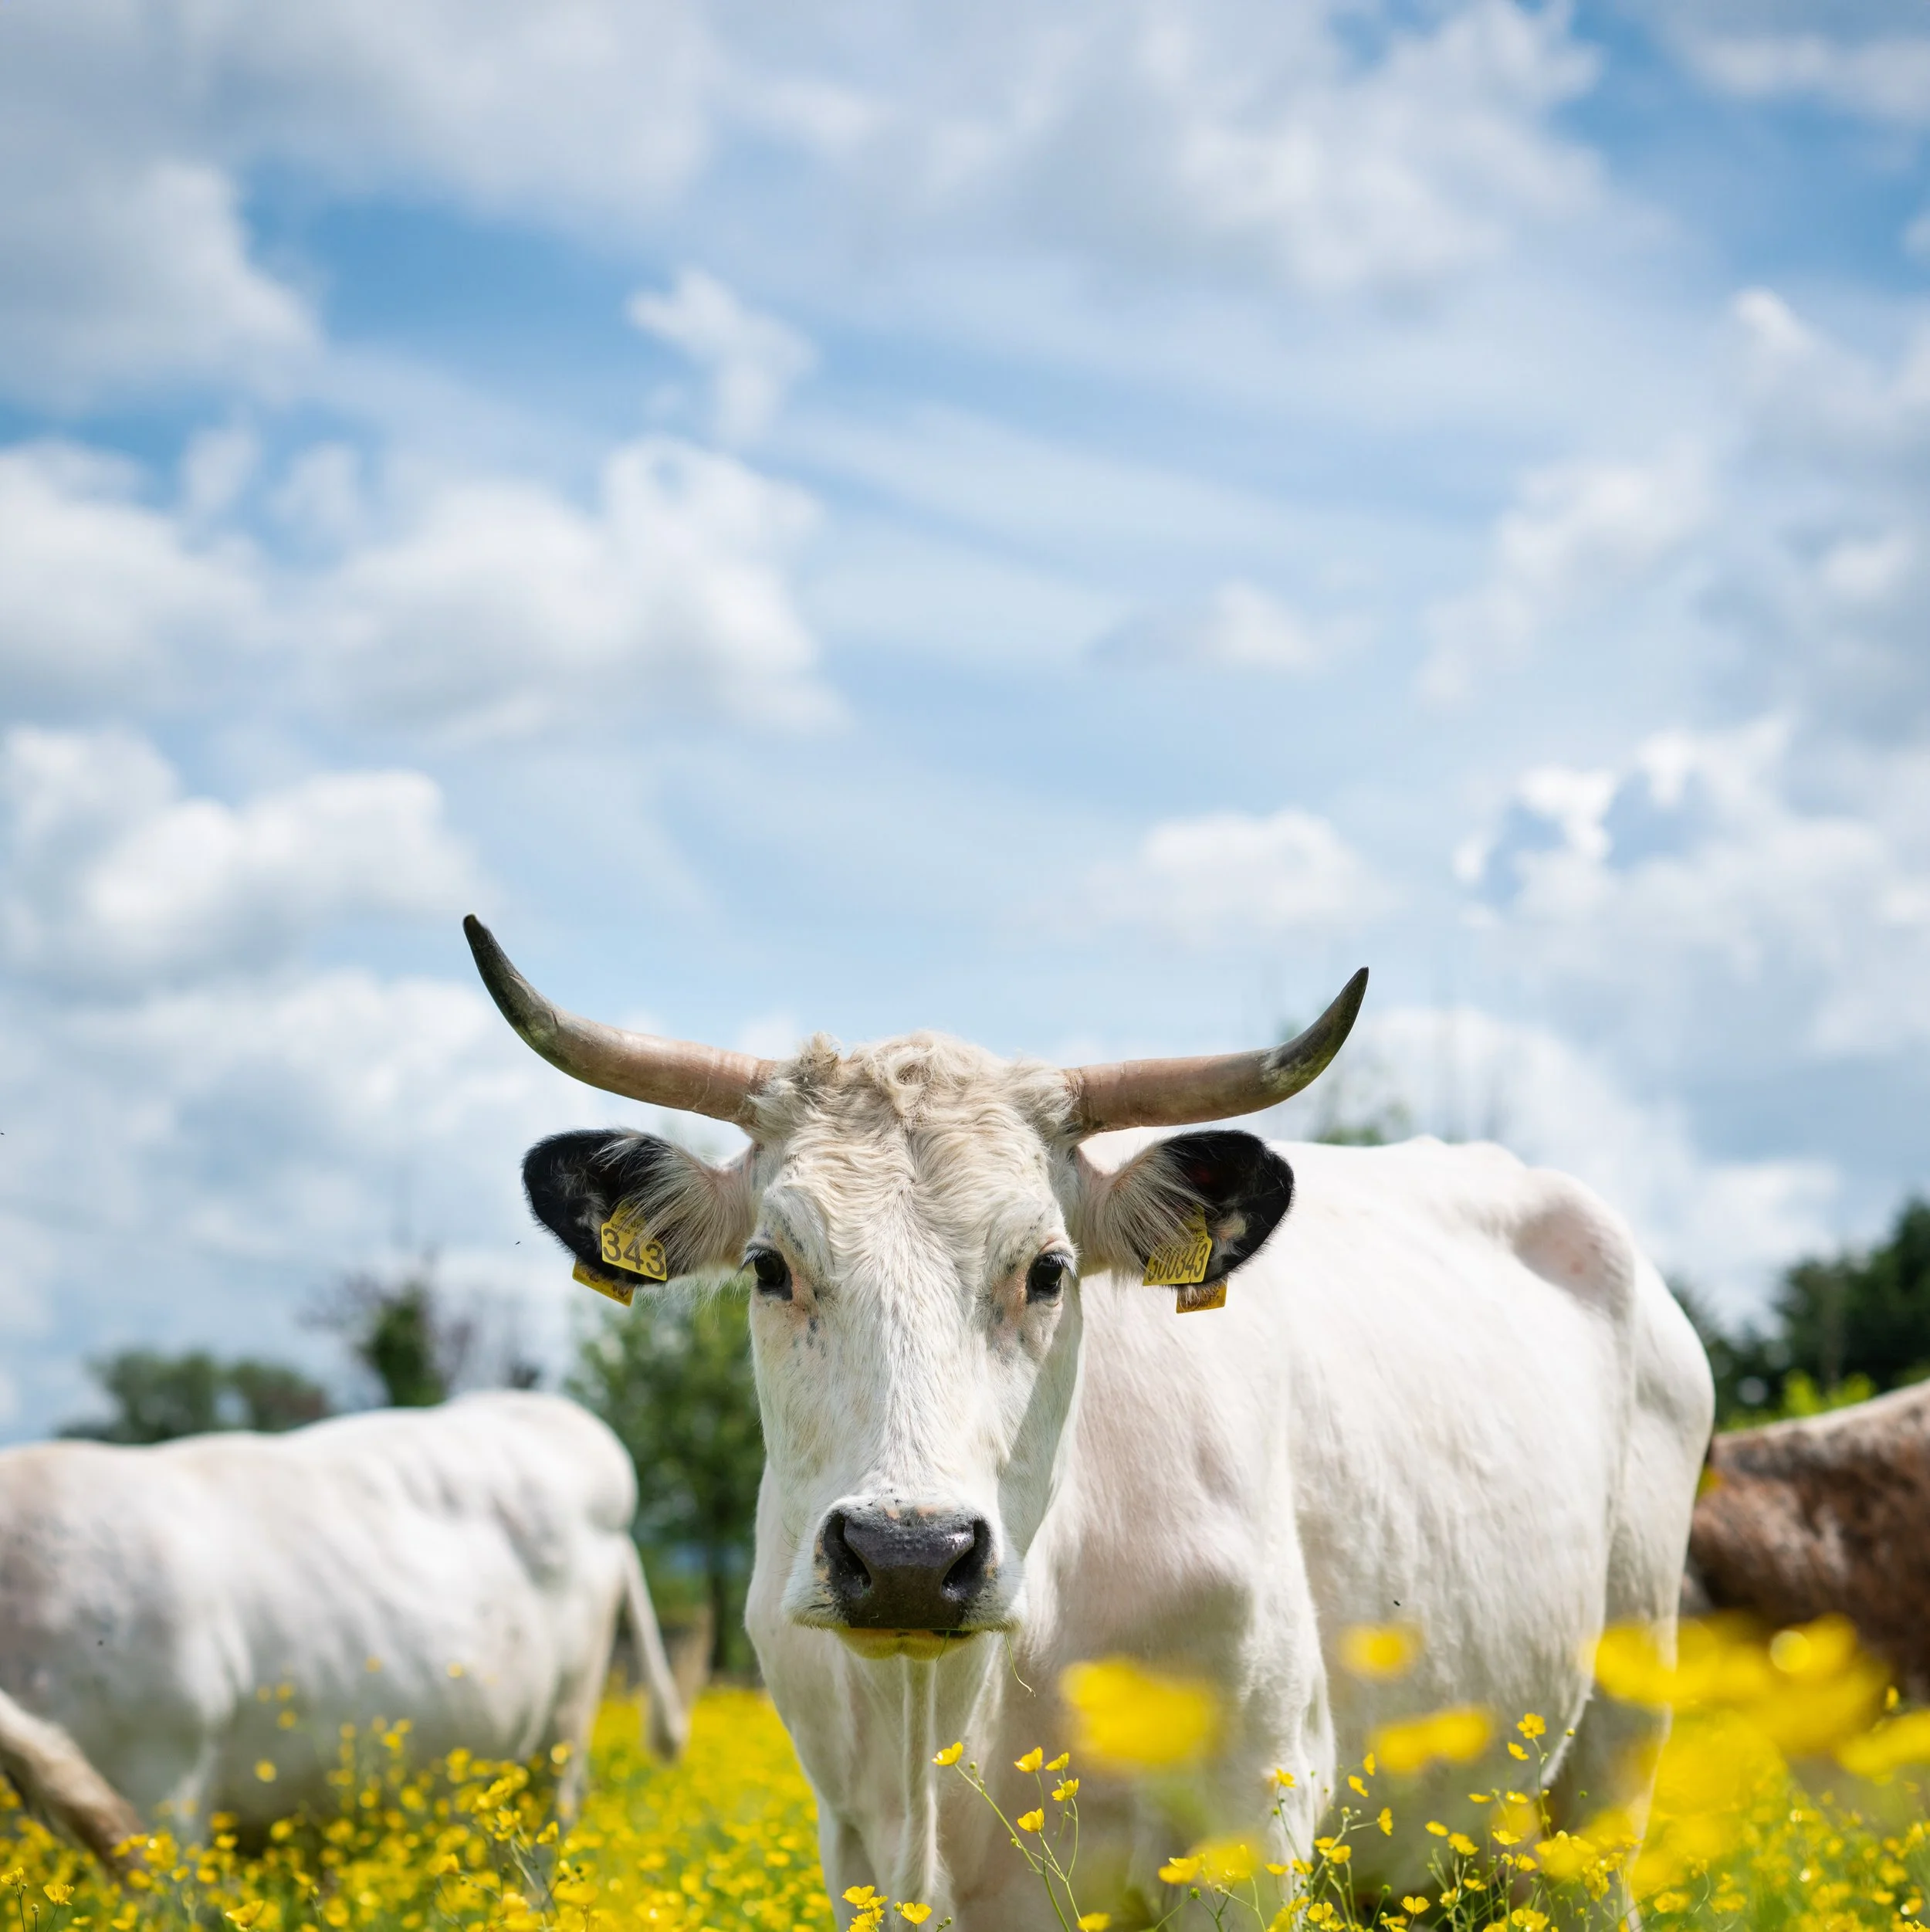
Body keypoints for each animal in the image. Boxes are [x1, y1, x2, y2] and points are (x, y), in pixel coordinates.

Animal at [466, 916, 1714, 1928]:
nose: (910, 1555)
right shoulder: (856, 1844)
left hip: (1609, 1761)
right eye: (771, 1266)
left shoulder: (1255, 1832)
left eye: (1049, 1268)